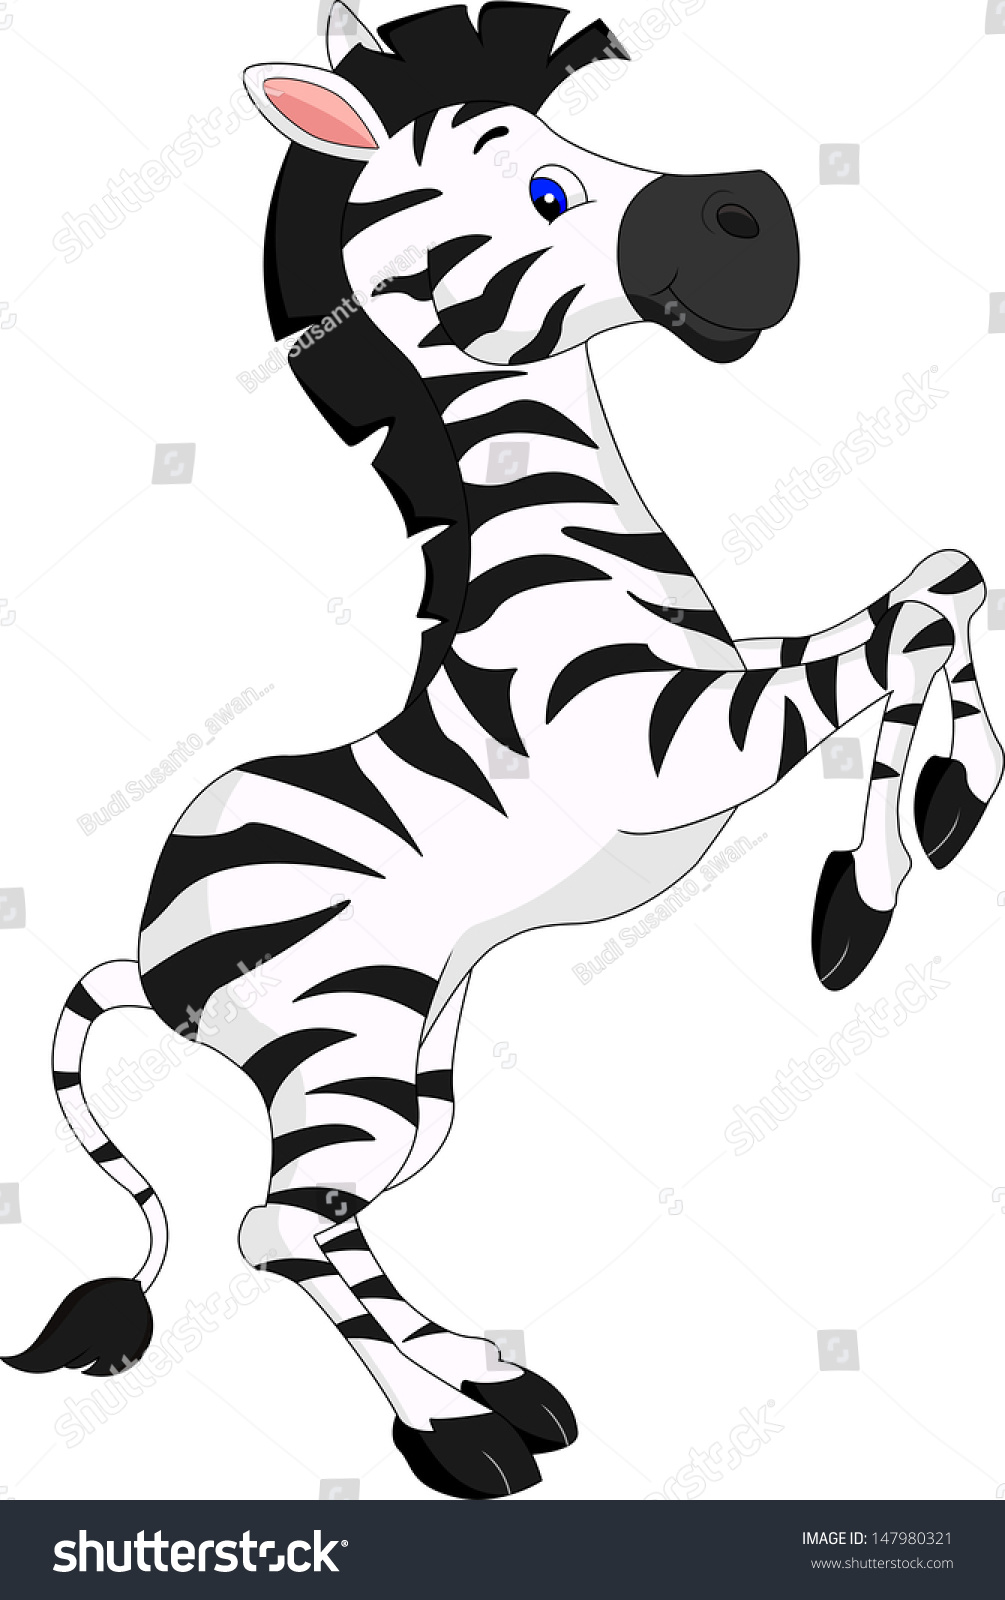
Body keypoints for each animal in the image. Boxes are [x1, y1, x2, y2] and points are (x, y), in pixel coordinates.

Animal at [5, 3, 1001, 1501]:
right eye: (541, 188)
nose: (757, 214)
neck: (555, 551)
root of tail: (150, 949)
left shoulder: (721, 687)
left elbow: (945, 578)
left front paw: (924, 827)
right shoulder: (679, 741)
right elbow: (914, 619)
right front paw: (874, 886)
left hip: (411, 1068)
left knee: (325, 1216)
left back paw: (490, 1374)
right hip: (342, 1039)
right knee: (277, 1226)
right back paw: (458, 1435)